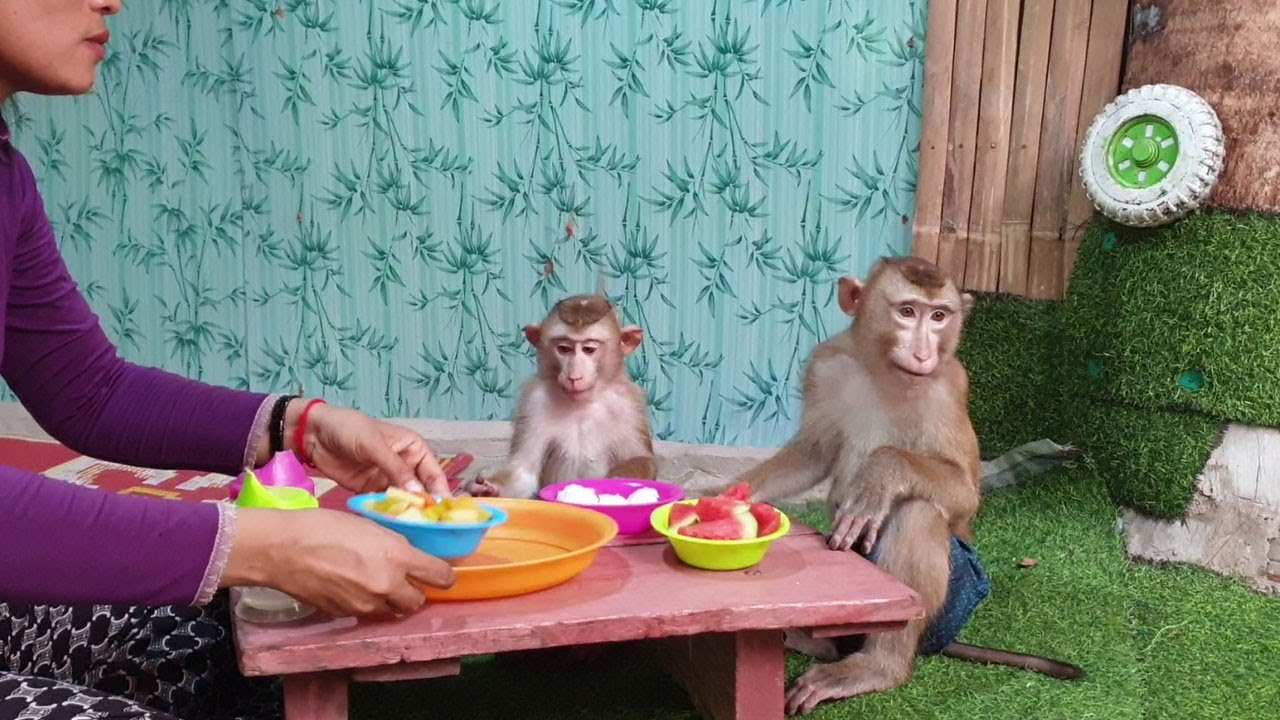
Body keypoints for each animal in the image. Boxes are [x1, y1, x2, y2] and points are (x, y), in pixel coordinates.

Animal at [475, 293, 658, 499]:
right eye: (564, 349)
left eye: (588, 349)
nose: (574, 376)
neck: (582, 402)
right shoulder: (533, 401)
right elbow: (523, 470)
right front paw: (489, 489)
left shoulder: (629, 404)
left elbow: (640, 457)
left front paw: (619, 479)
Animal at [728, 256, 1082, 715]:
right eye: (908, 312)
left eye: (939, 316)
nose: (923, 352)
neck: (886, 371)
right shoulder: (824, 364)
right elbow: (815, 452)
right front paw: (725, 497)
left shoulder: (948, 389)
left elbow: (965, 493)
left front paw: (883, 472)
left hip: (951, 602)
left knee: (918, 511)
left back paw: (880, 666)